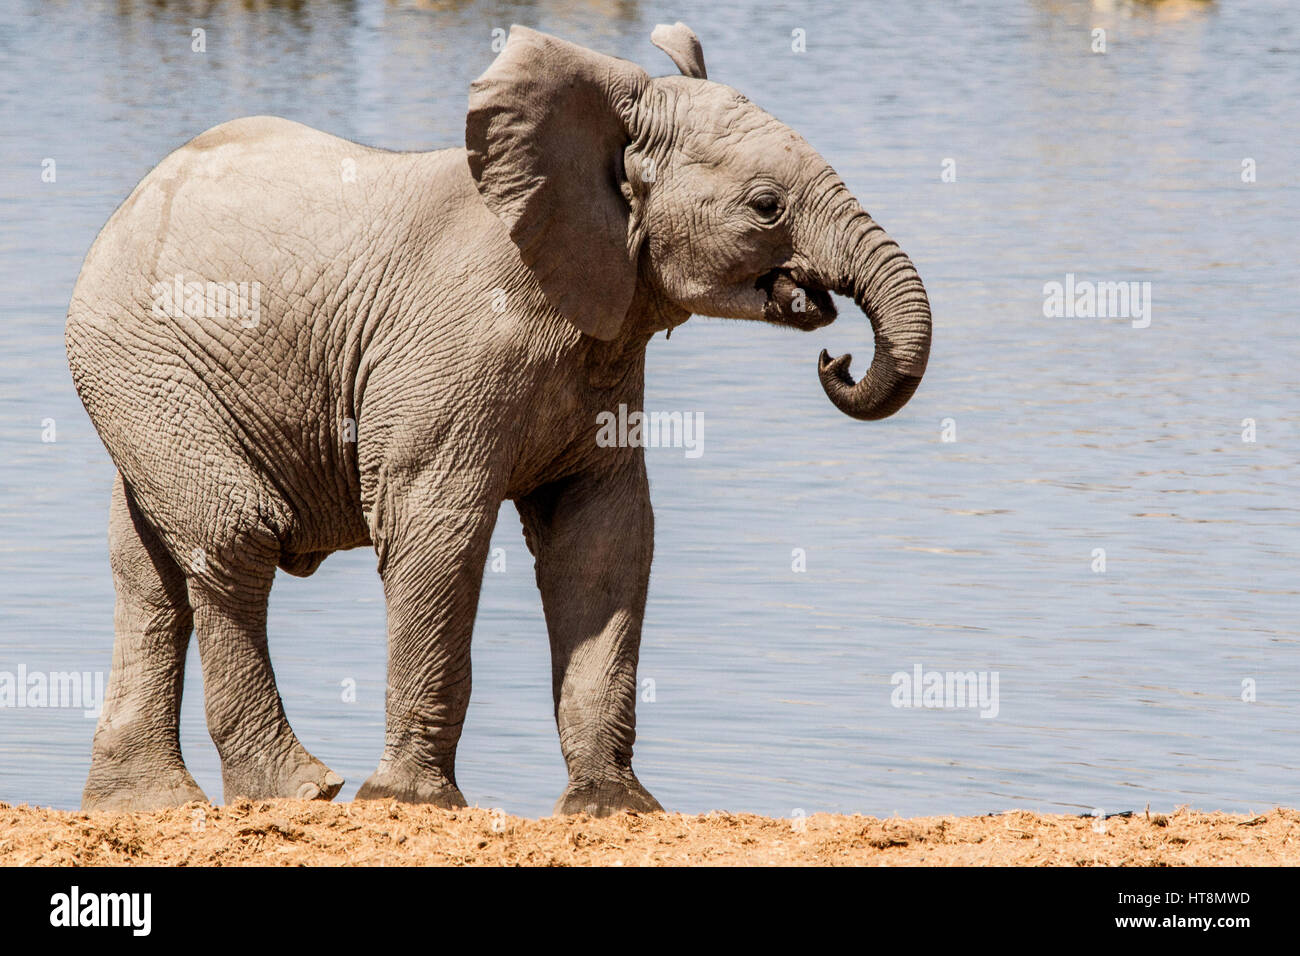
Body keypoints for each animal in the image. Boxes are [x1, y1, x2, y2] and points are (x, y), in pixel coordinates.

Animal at [65, 22, 931, 816]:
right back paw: (298, 792)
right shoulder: (451, 360)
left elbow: (604, 540)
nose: (837, 359)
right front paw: (412, 802)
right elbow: (434, 527)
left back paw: (144, 807)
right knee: (232, 538)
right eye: (766, 206)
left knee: (147, 570)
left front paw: (616, 808)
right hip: (144, 365)